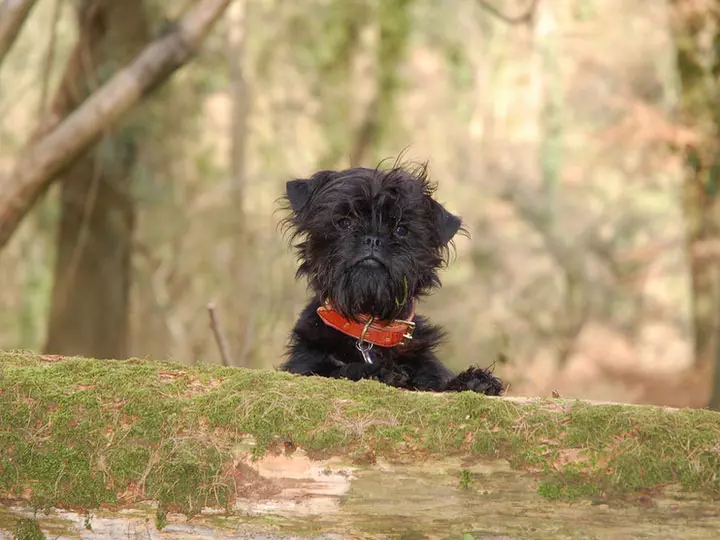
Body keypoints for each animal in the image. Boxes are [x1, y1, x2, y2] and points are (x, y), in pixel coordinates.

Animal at [278, 162, 504, 394]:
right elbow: (338, 371)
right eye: (345, 222)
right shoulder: (304, 366)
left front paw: (472, 381)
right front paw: (379, 372)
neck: (368, 330)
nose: (373, 239)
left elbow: (438, 382)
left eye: (401, 229)